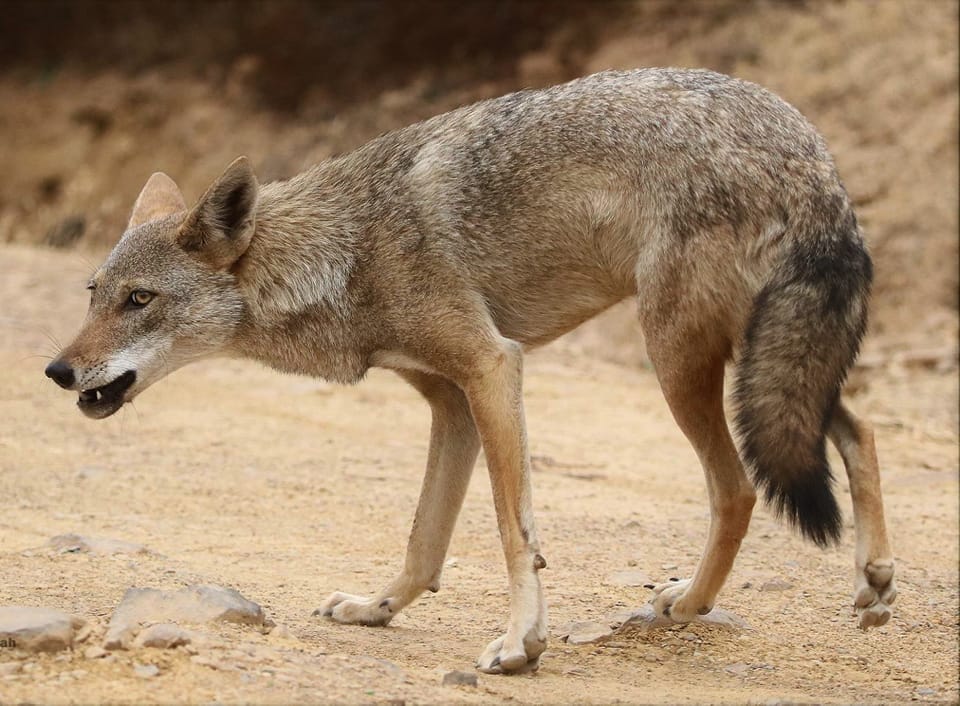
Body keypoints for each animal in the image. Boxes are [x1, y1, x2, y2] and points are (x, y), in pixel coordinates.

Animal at [45, 68, 896, 674]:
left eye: (140, 300)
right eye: (94, 295)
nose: (58, 370)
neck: (346, 251)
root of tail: (811, 151)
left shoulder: (493, 368)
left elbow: (512, 529)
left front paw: (521, 644)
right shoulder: (449, 401)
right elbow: (425, 539)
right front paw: (376, 609)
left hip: (681, 363)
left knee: (739, 486)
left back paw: (687, 604)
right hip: (761, 363)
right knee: (857, 430)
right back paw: (873, 581)